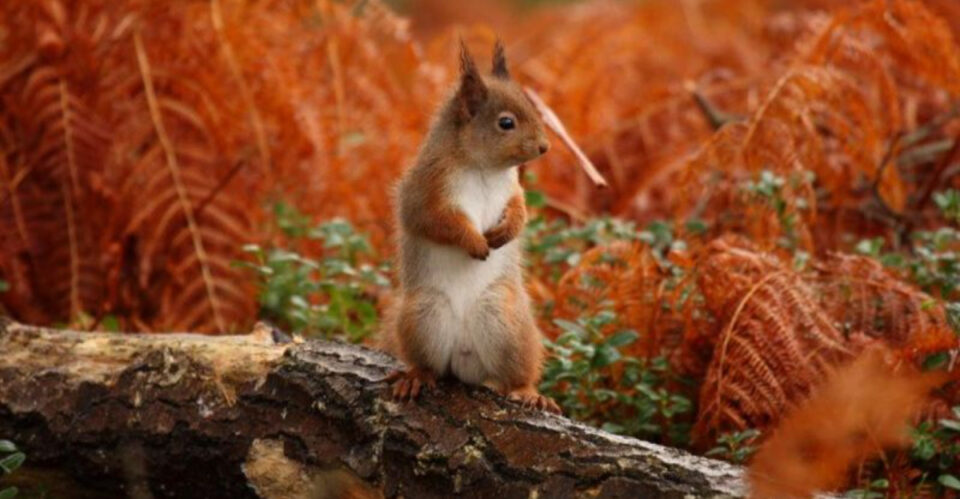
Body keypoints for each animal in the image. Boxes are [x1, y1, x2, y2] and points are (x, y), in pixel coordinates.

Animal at [380, 40, 560, 413]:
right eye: (506, 122)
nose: (544, 146)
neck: (484, 168)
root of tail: (464, 360)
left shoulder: (513, 189)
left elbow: (519, 210)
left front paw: (506, 232)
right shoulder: (426, 191)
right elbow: (437, 221)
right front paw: (474, 242)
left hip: (507, 321)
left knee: (515, 375)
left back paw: (527, 392)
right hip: (424, 315)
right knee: (430, 366)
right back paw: (417, 376)